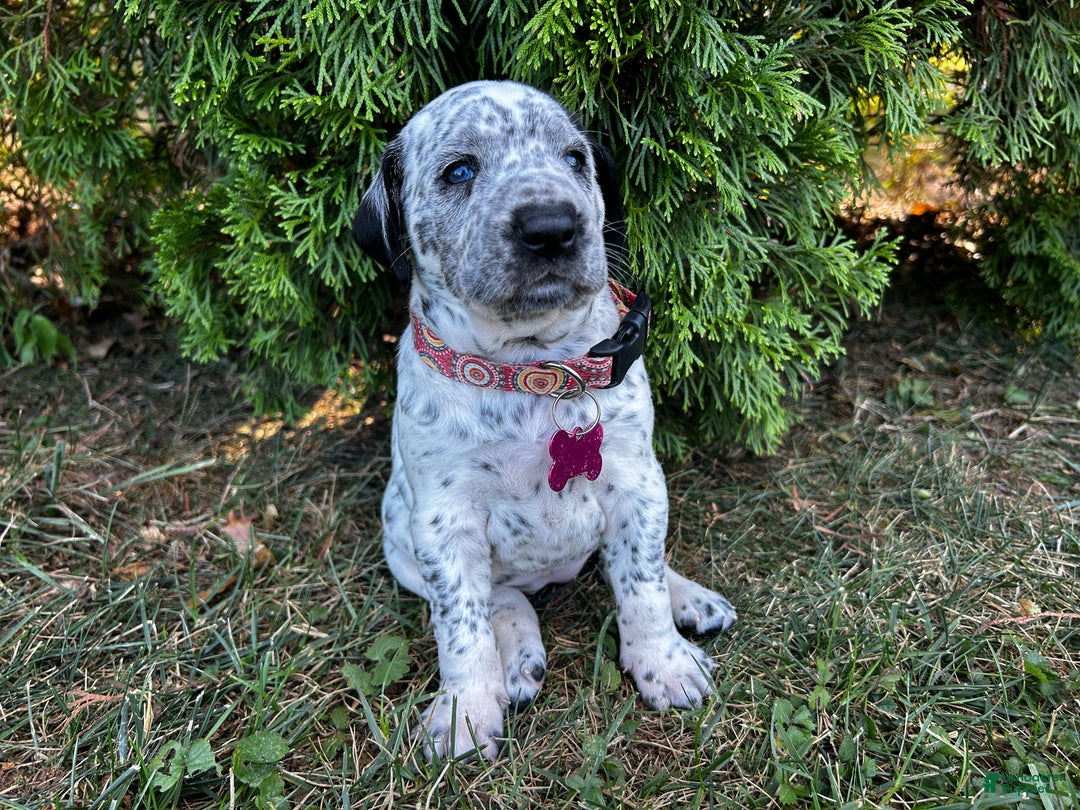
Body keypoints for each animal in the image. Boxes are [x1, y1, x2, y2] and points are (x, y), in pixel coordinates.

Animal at [353, 80, 736, 761]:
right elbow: (461, 627)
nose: (552, 227)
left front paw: (664, 663)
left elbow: (641, 585)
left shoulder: (638, 483)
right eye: (459, 171)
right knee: (500, 599)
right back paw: (518, 659)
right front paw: (466, 710)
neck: (533, 368)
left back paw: (690, 597)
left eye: (574, 159)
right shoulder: (443, 524)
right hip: (401, 542)